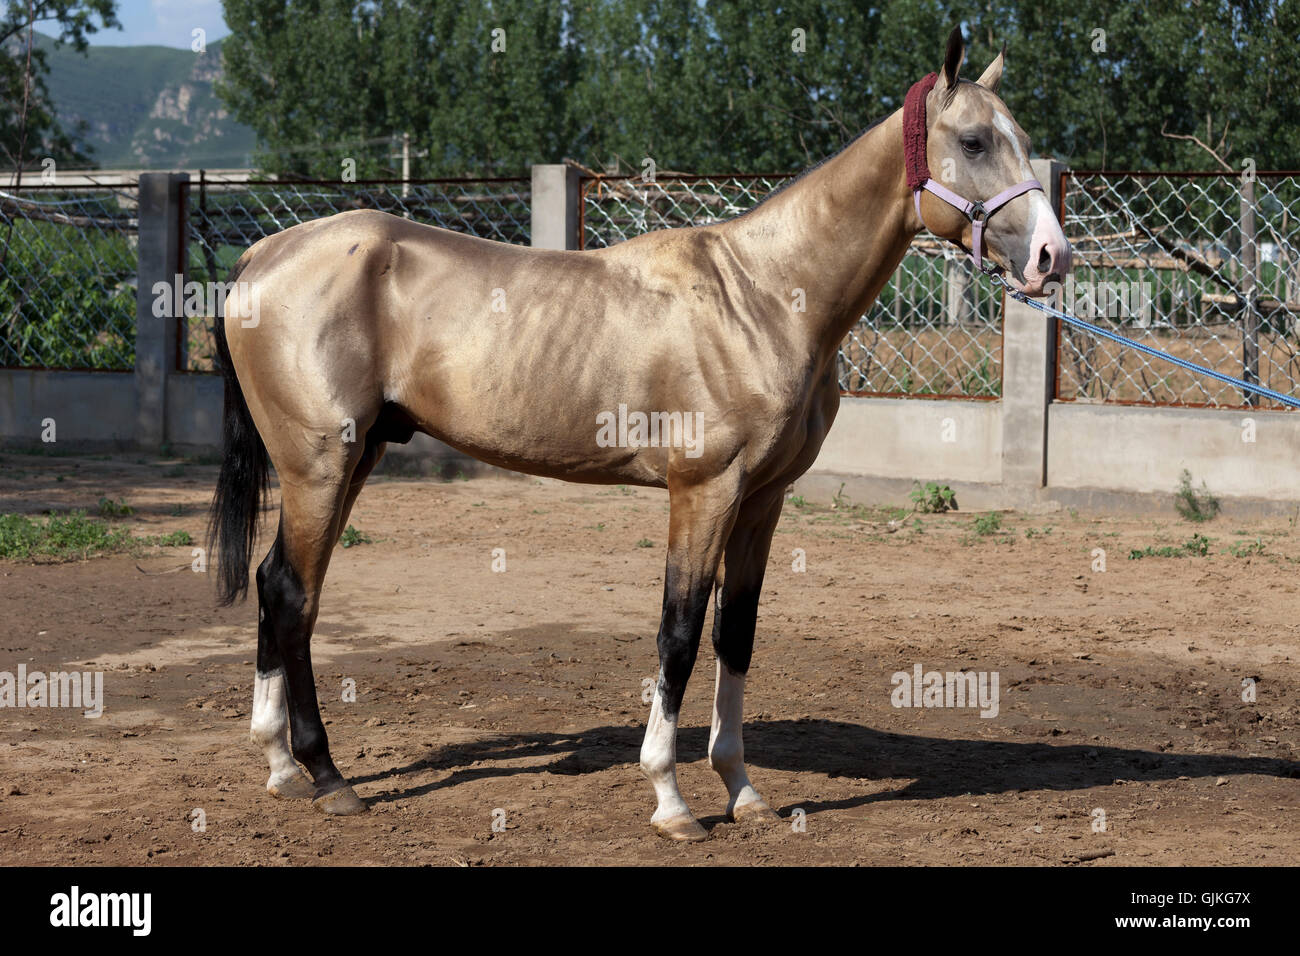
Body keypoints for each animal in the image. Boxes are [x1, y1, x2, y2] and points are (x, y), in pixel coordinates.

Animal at [208, 27, 1070, 841]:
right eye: (974, 141)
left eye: (1022, 137)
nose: (1052, 257)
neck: (764, 295)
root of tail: (262, 253)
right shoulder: (703, 492)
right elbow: (679, 634)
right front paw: (671, 800)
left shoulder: (762, 500)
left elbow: (736, 635)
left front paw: (743, 792)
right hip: (321, 465)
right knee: (292, 593)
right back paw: (327, 776)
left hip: (351, 461)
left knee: (277, 583)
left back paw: (282, 767)